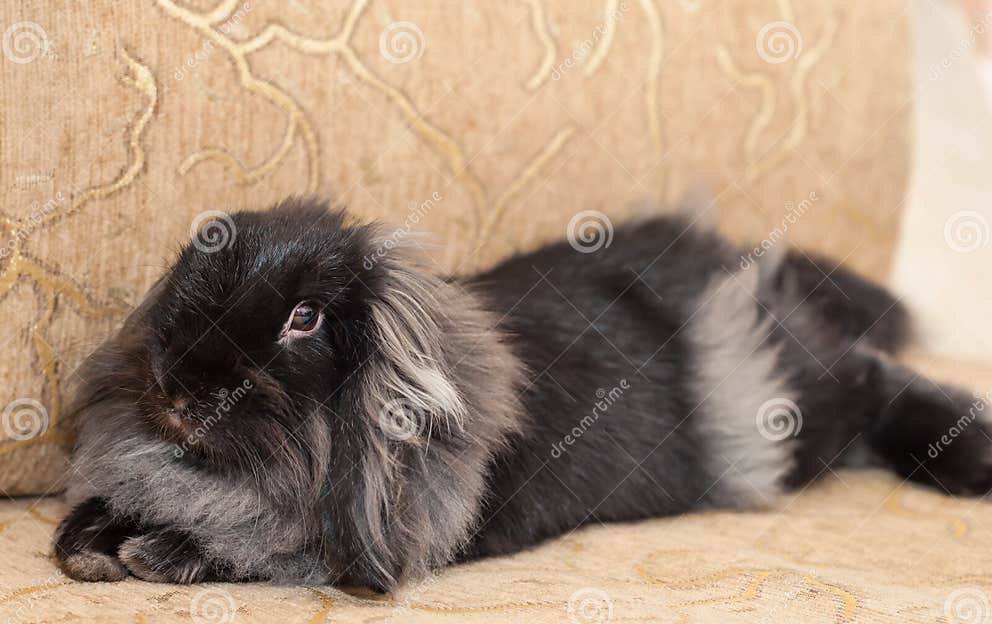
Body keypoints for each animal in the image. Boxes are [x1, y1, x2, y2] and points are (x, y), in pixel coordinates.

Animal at [54, 198, 992, 592]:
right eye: (184, 275)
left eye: (305, 318)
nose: (177, 388)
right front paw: (86, 540)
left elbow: (274, 545)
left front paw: (151, 553)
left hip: (780, 419)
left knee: (870, 379)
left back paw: (969, 455)